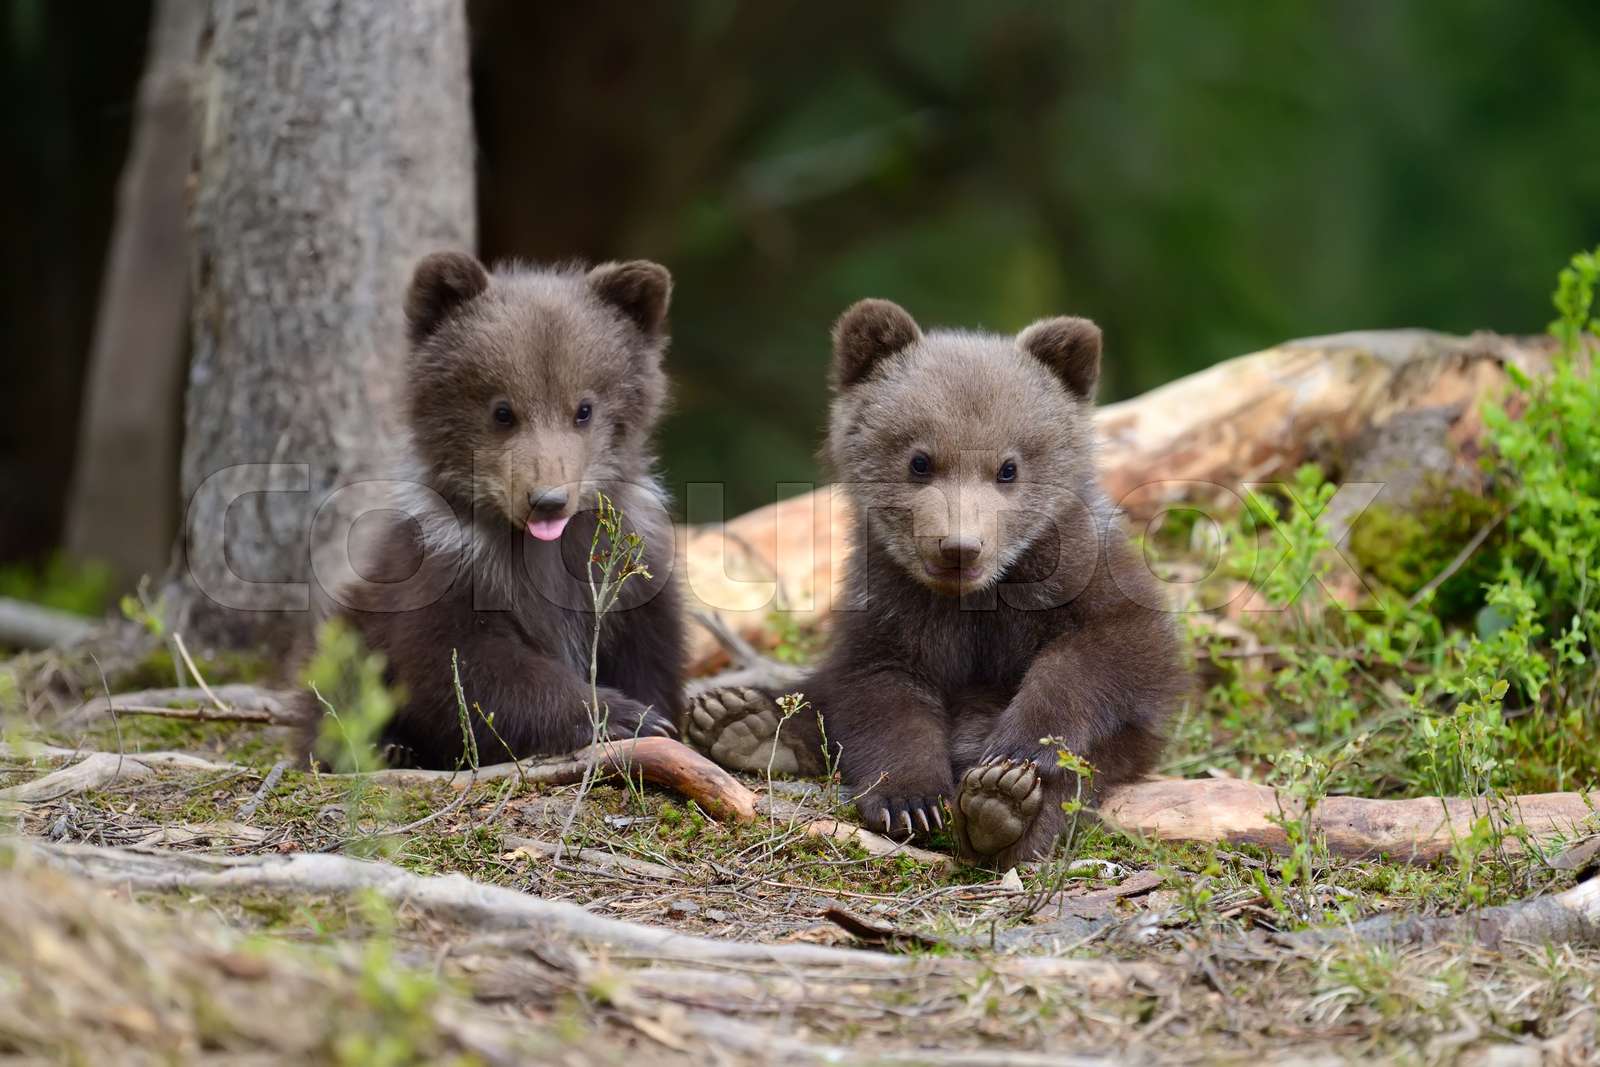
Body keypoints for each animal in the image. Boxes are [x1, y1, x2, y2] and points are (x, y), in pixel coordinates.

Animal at [300, 252, 685, 769]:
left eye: (584, 408)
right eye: (503, 411)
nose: (547, 499)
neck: (539, 553)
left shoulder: (626, 570)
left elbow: (651, 654)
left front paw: (661, 717)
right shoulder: (450, 570)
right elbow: (467, 671)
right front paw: (621, 715)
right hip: (359, 620)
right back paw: (389, 747)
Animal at [683, 299, 1188, 869]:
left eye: (1008, 467)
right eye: (920, 461)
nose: (960, 547)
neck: (974, 599)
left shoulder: (1079, 578)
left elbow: (1109, 651)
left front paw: (1017, 752)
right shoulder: (888, 605)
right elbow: (882, 693)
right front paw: (911, 800)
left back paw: (1002, 807)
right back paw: (739, 721)